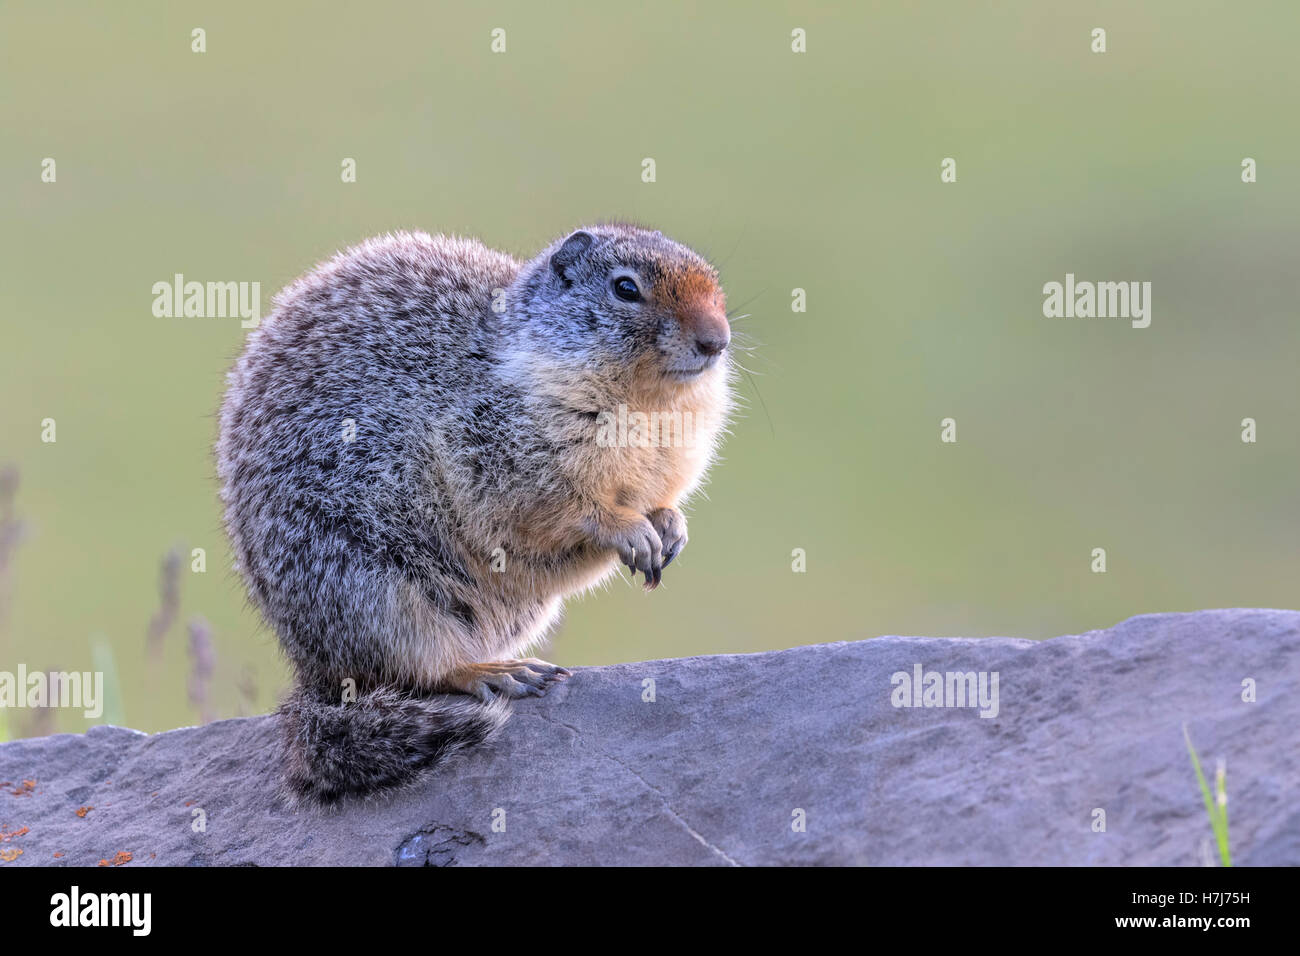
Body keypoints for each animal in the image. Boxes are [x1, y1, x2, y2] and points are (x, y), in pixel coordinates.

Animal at [217, 223, 733, 806]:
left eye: (714, 286)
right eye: (626, 288)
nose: (717, 341)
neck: (652, 404)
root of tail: (312, 672)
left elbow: (653, 504)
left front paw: (670, 525)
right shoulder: (493, 442)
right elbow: (554, 507)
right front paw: (628, 530)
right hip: (370, 590)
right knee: (421, 667)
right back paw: (499, 673)